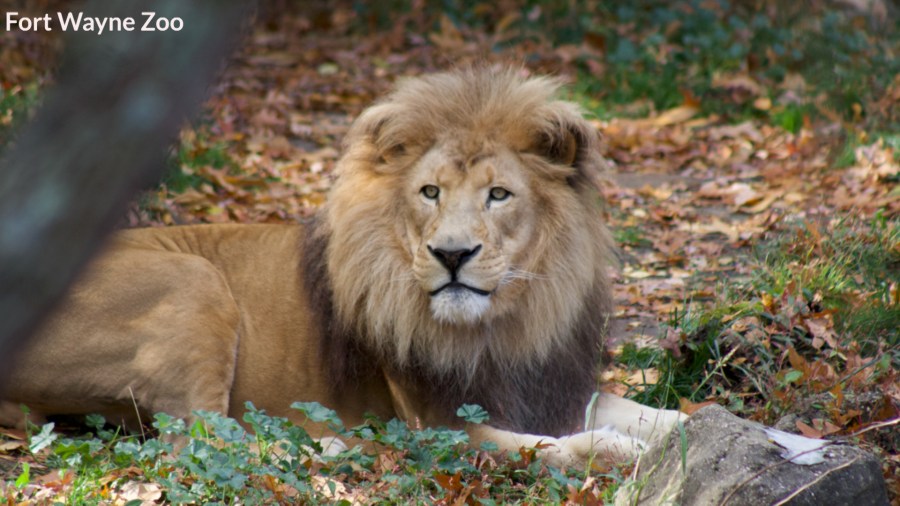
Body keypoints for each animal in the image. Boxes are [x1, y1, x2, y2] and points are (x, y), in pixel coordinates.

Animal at [0, 67, 684, 468]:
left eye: (499, 195)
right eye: (430, 192)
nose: (452, 255)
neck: (508, 320)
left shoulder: (548, 384)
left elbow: (646, 412)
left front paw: (685, 428)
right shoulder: (440, 424)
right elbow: (546, 448)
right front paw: (612, 450)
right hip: (195, 282)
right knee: (197, 441)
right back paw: (325, 443)